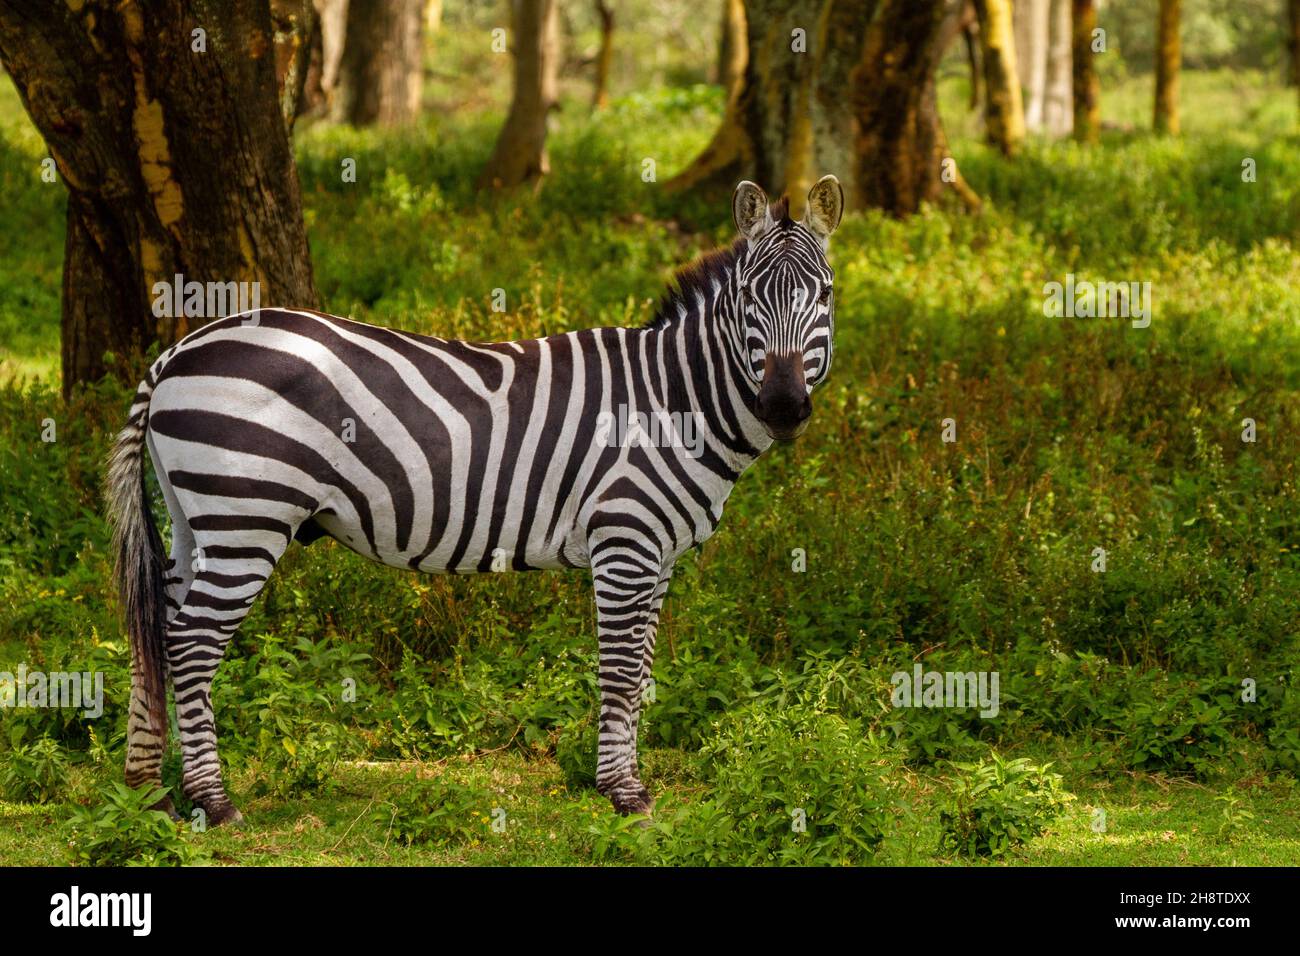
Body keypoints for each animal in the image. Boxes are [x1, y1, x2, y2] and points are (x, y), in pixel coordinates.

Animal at [106, 176, 844, 823]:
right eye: (748, 298)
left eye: (826, 296)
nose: (783, 407)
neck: (675, 399)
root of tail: (178, 351)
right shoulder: (626, 543)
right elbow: (620, 670)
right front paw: (623, 794)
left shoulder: (657, 556)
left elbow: (641, 671)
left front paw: (624, 780)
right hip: (245, 517)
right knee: (191, 643)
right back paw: (212, 801)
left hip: (195, 522)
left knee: (158, 630)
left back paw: (150, 792)